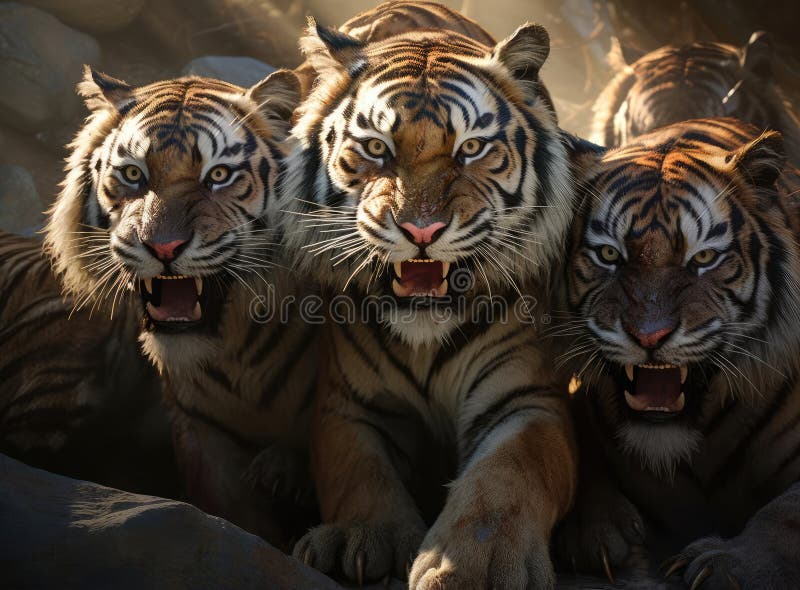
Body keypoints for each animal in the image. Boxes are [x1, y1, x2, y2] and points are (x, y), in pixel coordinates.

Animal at [280, 5, 581, 588]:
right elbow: (357, 472)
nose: (421, 230)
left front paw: (475, 565)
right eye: (376, 148)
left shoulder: (527, 398)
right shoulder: (349, 405)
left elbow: (510, 473)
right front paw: (361, 537)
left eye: (471, 148)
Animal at [553, 117, 800, 589]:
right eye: (608, 254)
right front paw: (597, 529)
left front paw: (725, 564)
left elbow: (784, 514)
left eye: (702, 259)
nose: (650, 336)